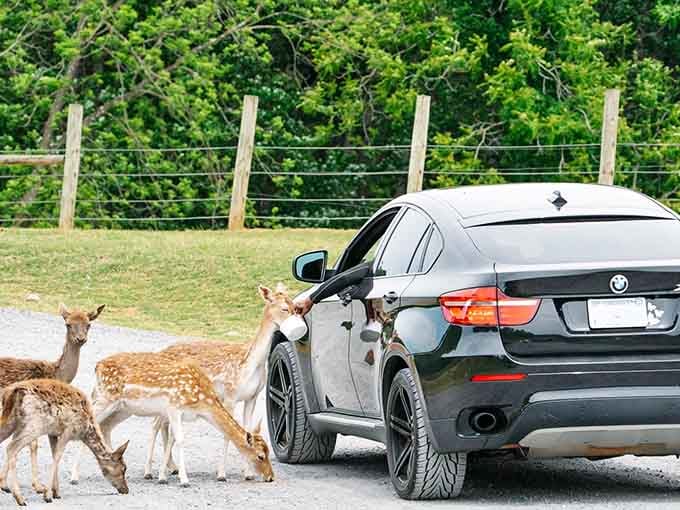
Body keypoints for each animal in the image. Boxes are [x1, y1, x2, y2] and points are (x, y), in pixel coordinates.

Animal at [0, 303, 105, 495]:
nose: (80, 339)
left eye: (88, 324)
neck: (55, 374)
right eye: (68, 324)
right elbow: (32, 444)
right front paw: (38, 486)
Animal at [0, 379, 129, 506]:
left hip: (12, 423)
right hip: (35, 425)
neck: (85, 429)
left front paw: (56, 492)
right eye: (123, 469)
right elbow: (57, 456)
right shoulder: (69, 430)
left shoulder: (53, 433)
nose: (126, 489)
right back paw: (20, 498)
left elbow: (54, 455)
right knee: (11, 447)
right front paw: (47, 496)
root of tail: (13, 392)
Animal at [68, 353, 275, 487]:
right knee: (91, 425)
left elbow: (172, 440)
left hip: (121, 408)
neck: (202, 401)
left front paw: (162, 477)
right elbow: (180, 440)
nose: (271, 477)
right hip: (106, 399)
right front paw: (184, 480)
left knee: (105, 427)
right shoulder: (174, 407)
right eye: (260, 456)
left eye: (268, 451)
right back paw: (74, 477)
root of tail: (97, 366)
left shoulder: (179, 414)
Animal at [141, 283, 294, 481]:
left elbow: (247, 428)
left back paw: (172, 467)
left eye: (294, 305)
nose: (298, 319)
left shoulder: (252, 397)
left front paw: (248, 473)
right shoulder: (230, 395)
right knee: (155, 425)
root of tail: (159, 353)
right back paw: (149, 471)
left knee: (164, 426)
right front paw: (221, 473)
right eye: (284, 308)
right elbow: (227, 435)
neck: (250, 364)